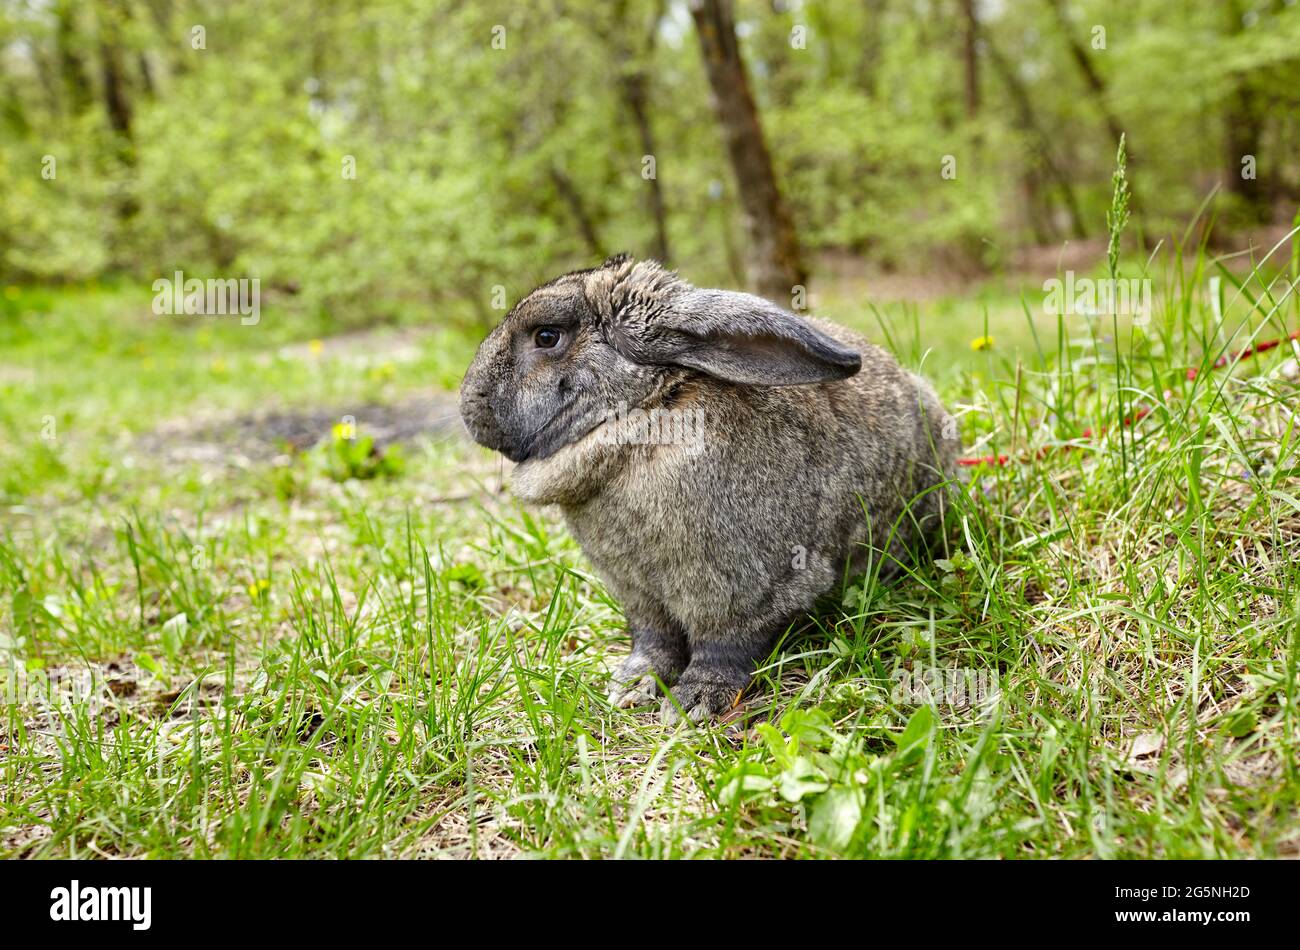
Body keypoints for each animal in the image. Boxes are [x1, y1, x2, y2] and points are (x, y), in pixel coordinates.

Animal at [459, 254, 958, 724]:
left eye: (547, 336)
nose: (468, 404)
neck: (645, 413)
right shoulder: (639, 597)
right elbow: (655, 641)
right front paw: (631, 684)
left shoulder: (744, 590)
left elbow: (725, 646)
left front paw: (695, 700)